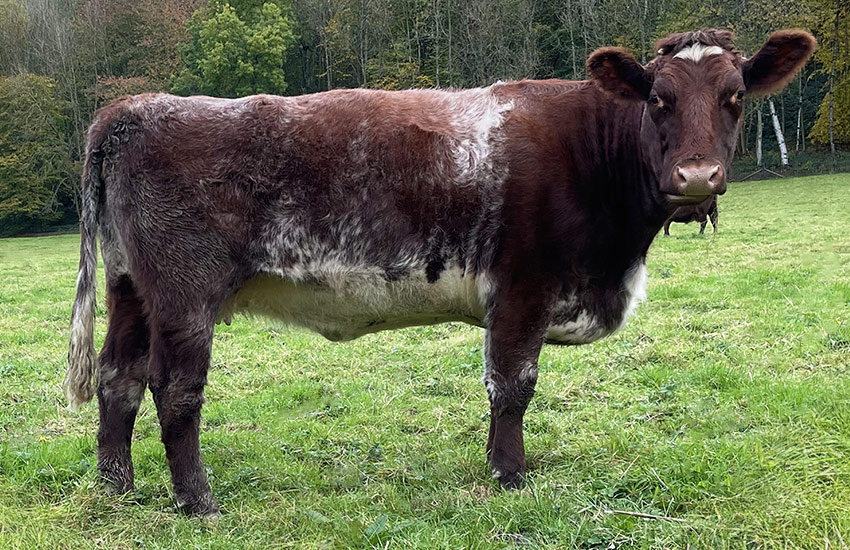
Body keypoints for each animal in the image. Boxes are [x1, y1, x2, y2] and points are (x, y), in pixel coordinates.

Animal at [65, 29, 815, 517]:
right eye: (658, 97)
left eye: (735, 95)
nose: (697, 176)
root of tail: (137, 106)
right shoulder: (522, 287)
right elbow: (513, 385)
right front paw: (510, 475)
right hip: (183, 294)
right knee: (174, 390)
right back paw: (198, 500)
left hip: (130, 287)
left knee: (117, 376)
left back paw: (116, 487)